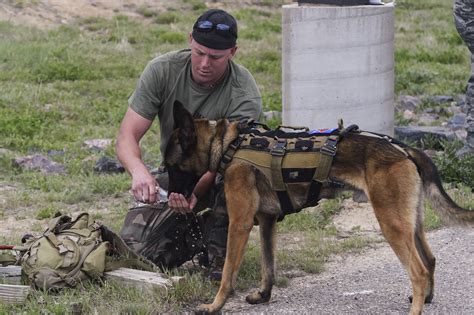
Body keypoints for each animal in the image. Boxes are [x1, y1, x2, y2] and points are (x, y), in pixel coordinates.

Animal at [164, 102, 474, 315]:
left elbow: (228, 272)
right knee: (430, 259)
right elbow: (268, 265)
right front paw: (263, 295)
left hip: (392, 224)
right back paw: (427, 298)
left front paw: (215, 305)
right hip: (411, 223)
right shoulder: (267, 221)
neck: (229, 145)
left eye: (170, 166)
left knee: (418, 270)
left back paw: (416, 308)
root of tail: (404, 149)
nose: (171, 199)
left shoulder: (240, 223)